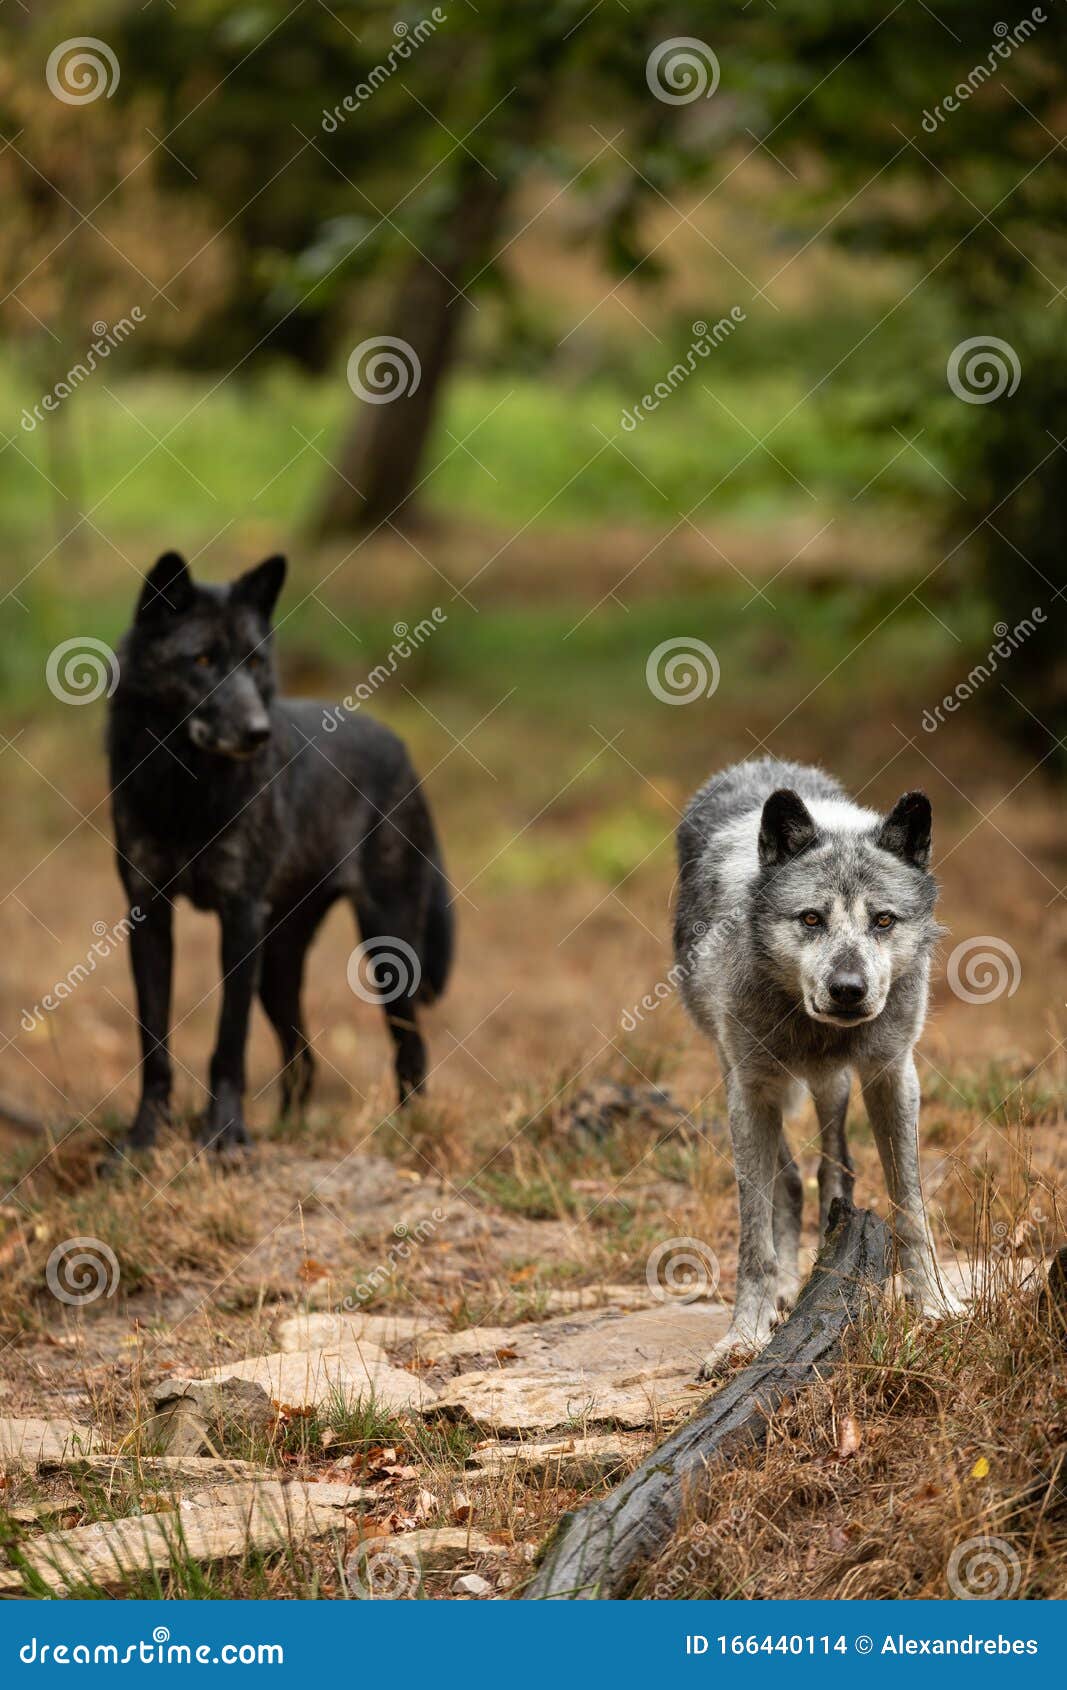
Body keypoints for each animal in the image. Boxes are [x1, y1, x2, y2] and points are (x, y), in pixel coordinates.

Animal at [107, 550, 453, 1157]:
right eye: (203, 660)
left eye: (254, 662)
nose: (258, 732)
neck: (185, 791)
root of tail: (403, 750)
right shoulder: (149, 914)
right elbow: (154, 1043)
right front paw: (144, 1139)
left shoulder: (240, 915)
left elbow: (229, 1042)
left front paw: (225, 1139)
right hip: (278, 968)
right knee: (304, 1063)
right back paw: (289, 1132)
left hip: (386, 951)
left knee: (411, 1051)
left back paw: (410, 1136)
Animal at [673, 756, 957, 1375]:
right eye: (810, 919)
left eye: (883, 921)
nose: (848, 989)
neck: (816, 1030)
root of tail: (763, 764)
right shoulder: (751, 1089)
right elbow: (752, 1240)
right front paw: (743, 1337)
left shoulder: (892, 1075)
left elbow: (912, 1210)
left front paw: (934, 1308)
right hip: (739, 1074)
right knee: (789, 1180)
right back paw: (791, 1285)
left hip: (835, 1086)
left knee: (835, 1167)